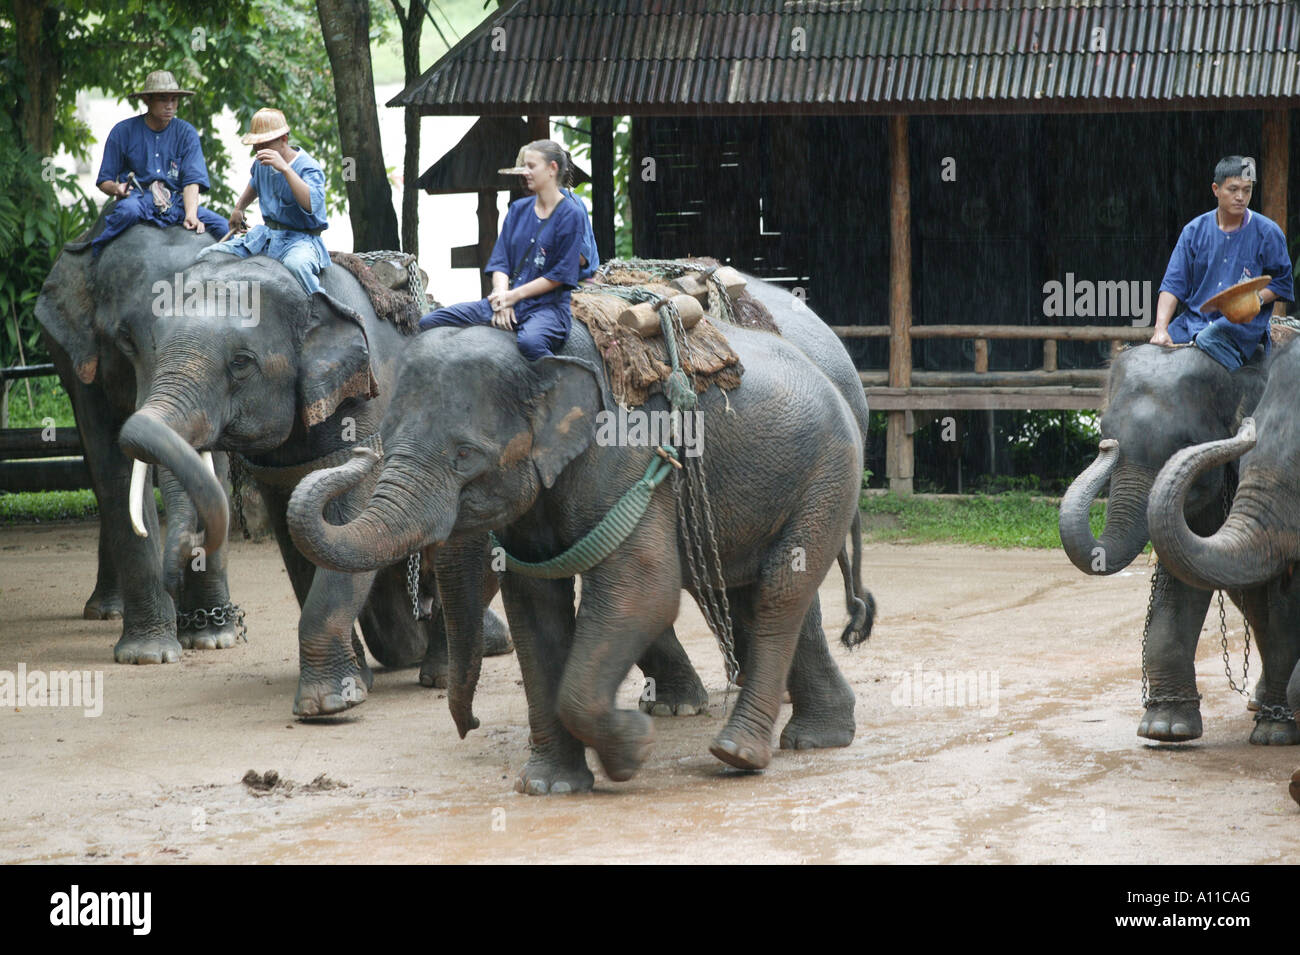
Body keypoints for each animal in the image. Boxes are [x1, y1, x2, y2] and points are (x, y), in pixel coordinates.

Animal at [286, 317, 867, 793]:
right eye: (386, 435)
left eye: (465, 455)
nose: (469, 725)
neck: (540, 357)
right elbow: (535, 607)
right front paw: (549, 786)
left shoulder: (630, 460)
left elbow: (644, 590)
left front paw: (634, 748)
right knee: (757, 591)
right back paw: (818, 737)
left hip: (830, 469)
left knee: (780, 590)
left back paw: (738, 754)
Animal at [1058, 342, 1299, 746]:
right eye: (1104, 430)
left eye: (1186, 442)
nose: (1107, 446)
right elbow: (1180, 583)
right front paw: (1166, 730)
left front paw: (1275, 732)